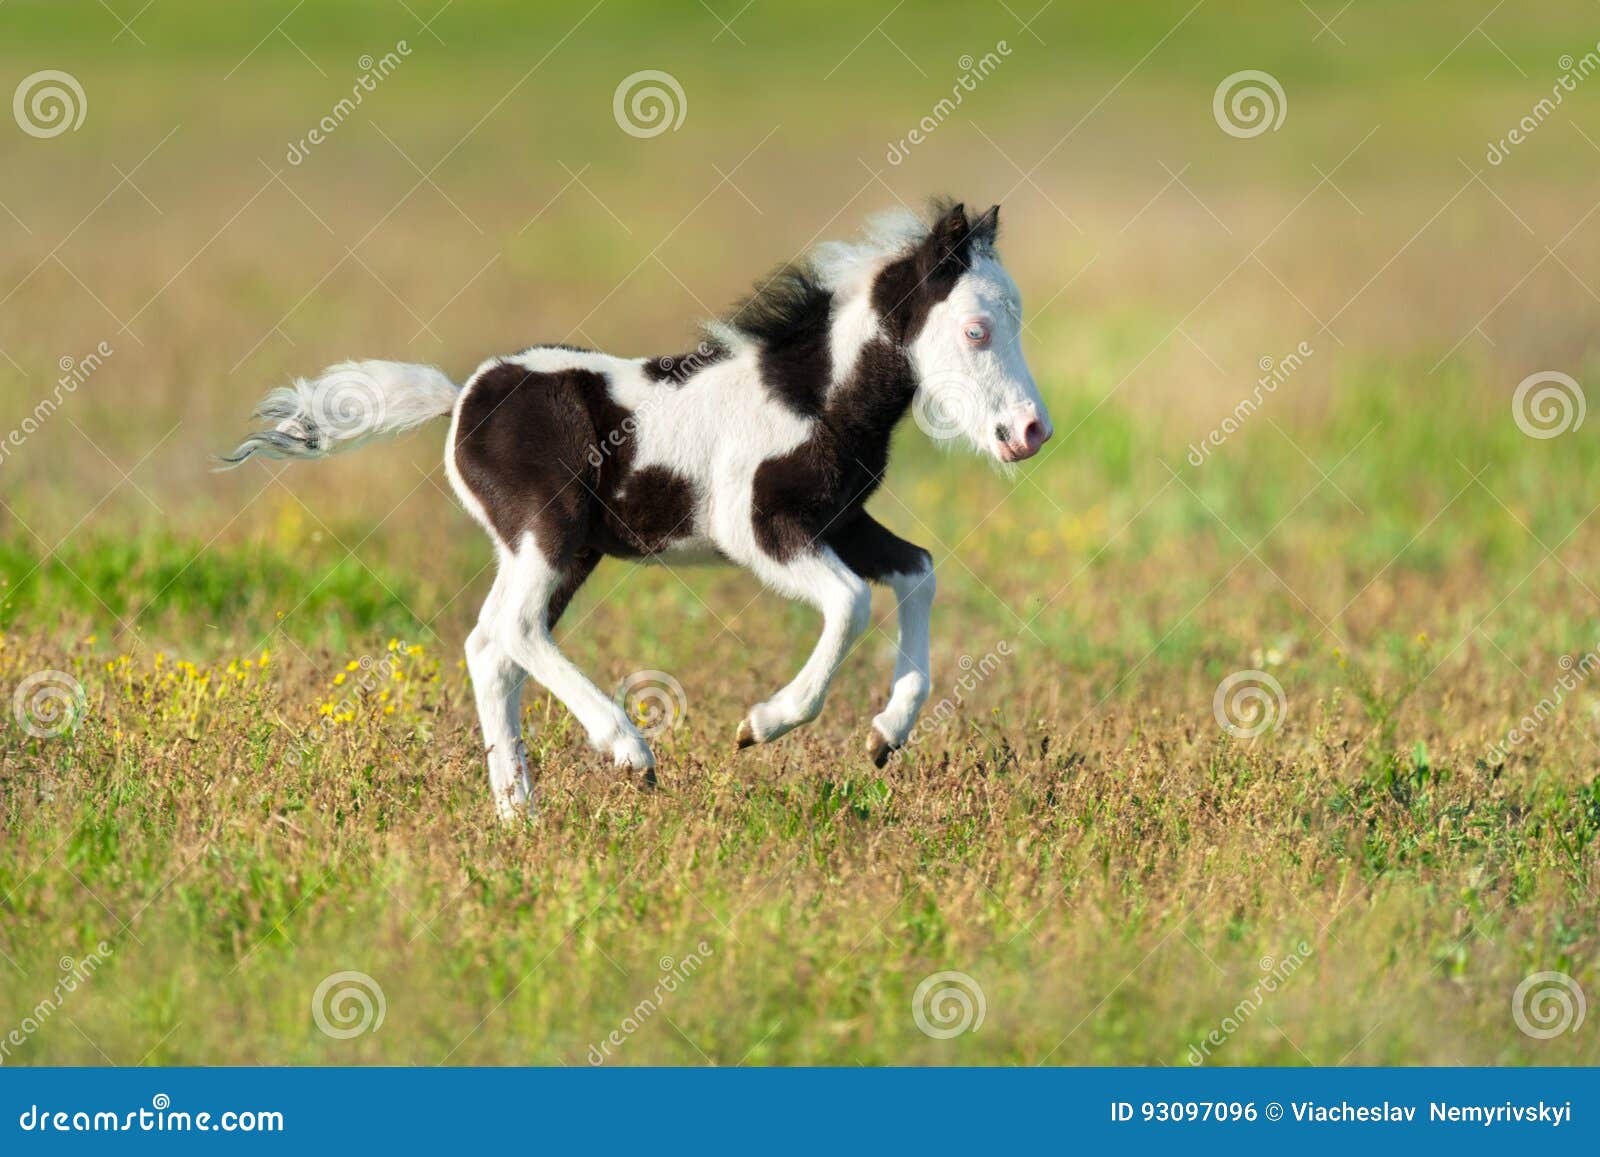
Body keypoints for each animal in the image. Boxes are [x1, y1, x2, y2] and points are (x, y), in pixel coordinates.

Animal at [221, 200, 1052, 818]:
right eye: (976, 329)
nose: (1029, 432)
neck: (812, 394)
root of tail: (460, 397)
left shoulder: (841, 519)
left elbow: (919, 571)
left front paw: (887, 733)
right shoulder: (759, 529)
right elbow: (851, 603)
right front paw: (763, 723)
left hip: (558, 548)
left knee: (492, 644)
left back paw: (519, 813)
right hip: (547, 532)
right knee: (514, 629)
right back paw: (628, 751)